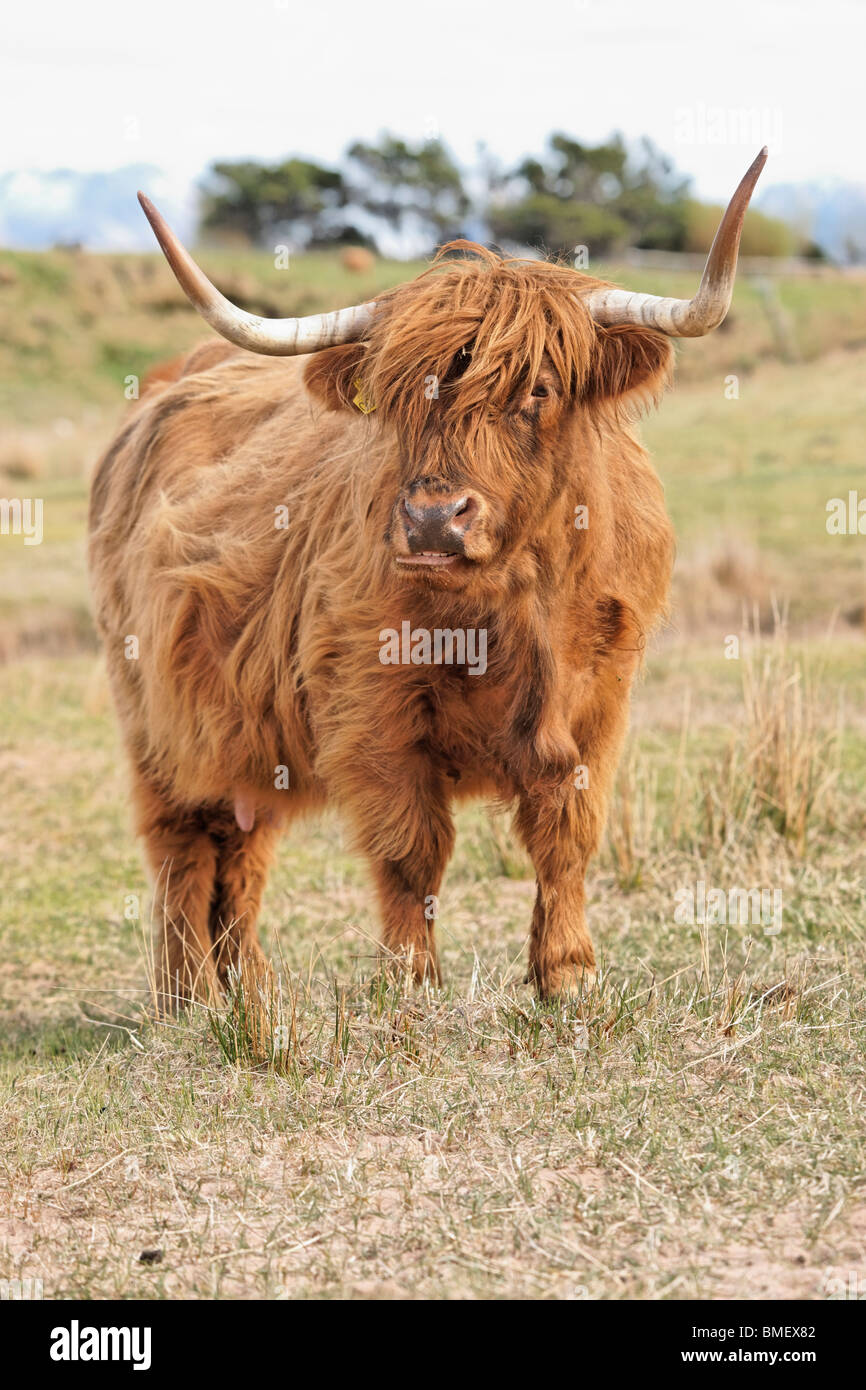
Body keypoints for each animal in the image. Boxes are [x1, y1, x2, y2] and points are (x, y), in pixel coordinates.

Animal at [88, 150, 767, 1009]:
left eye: (538, 389)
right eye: (398, 396)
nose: (434, 519)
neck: (513, 606)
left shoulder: (601, 701)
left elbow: (568, 833)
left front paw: (567, 975)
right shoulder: (371, 705)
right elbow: (412, 851)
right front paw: (412, 983)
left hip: (243, 730)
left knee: (240, 844)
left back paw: (249, 991)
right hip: (157, 717)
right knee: (183, 843)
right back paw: (192, 996)